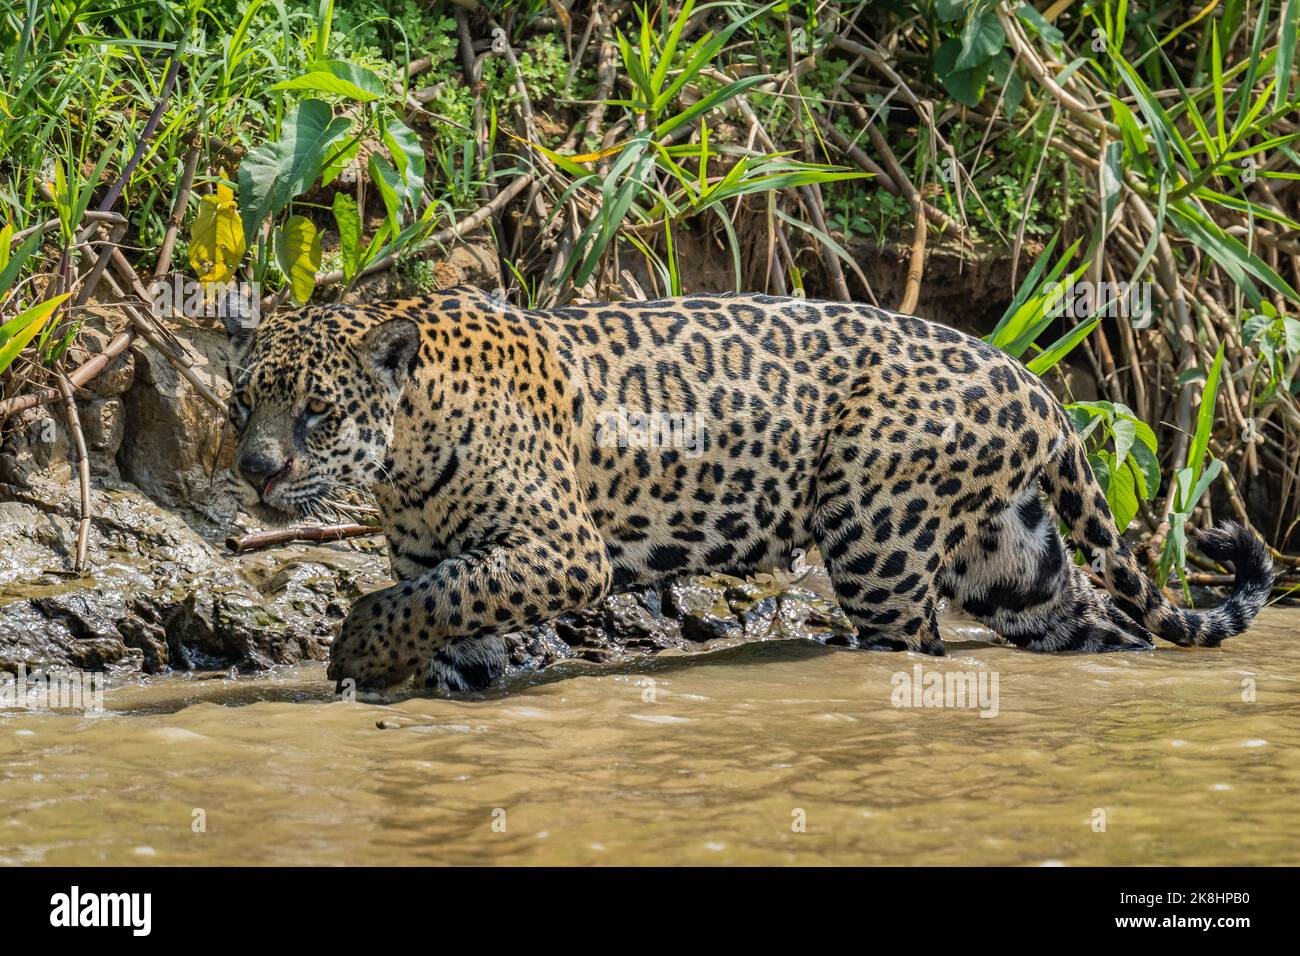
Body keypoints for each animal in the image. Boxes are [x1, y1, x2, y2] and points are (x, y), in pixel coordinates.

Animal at [223, 286, 1274, 693]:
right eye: (241, 405)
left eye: (314, 414)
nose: (255, 471)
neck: (405, 456)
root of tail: (1035, 382)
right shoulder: (449, 561)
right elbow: (446, 610)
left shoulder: (562, 549)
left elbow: (429, 595)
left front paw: (357, 648)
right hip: (1012, 563)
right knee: (1096, 622)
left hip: (878, 540)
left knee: (912, 640)